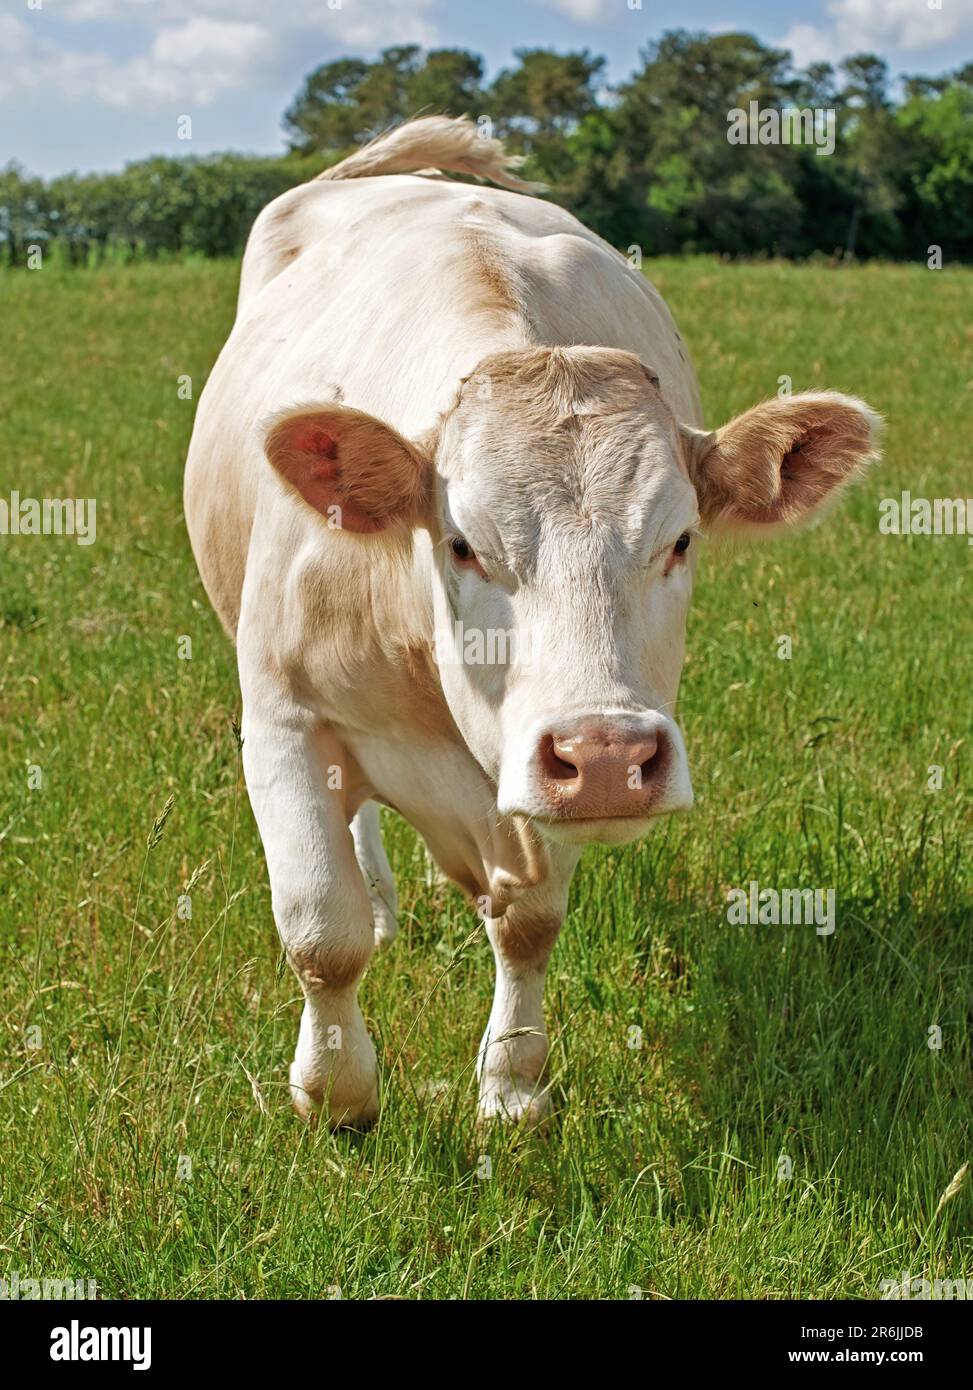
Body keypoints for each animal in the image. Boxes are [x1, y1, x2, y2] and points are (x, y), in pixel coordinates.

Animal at [184, 116, 880, 1129]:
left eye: (680, 540)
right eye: (463, 543)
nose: (606, 755)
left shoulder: (532, 770)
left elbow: (528, 925)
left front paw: (512, 1085)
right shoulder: (280, 714)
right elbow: (321, 928)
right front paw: (336, 1094)